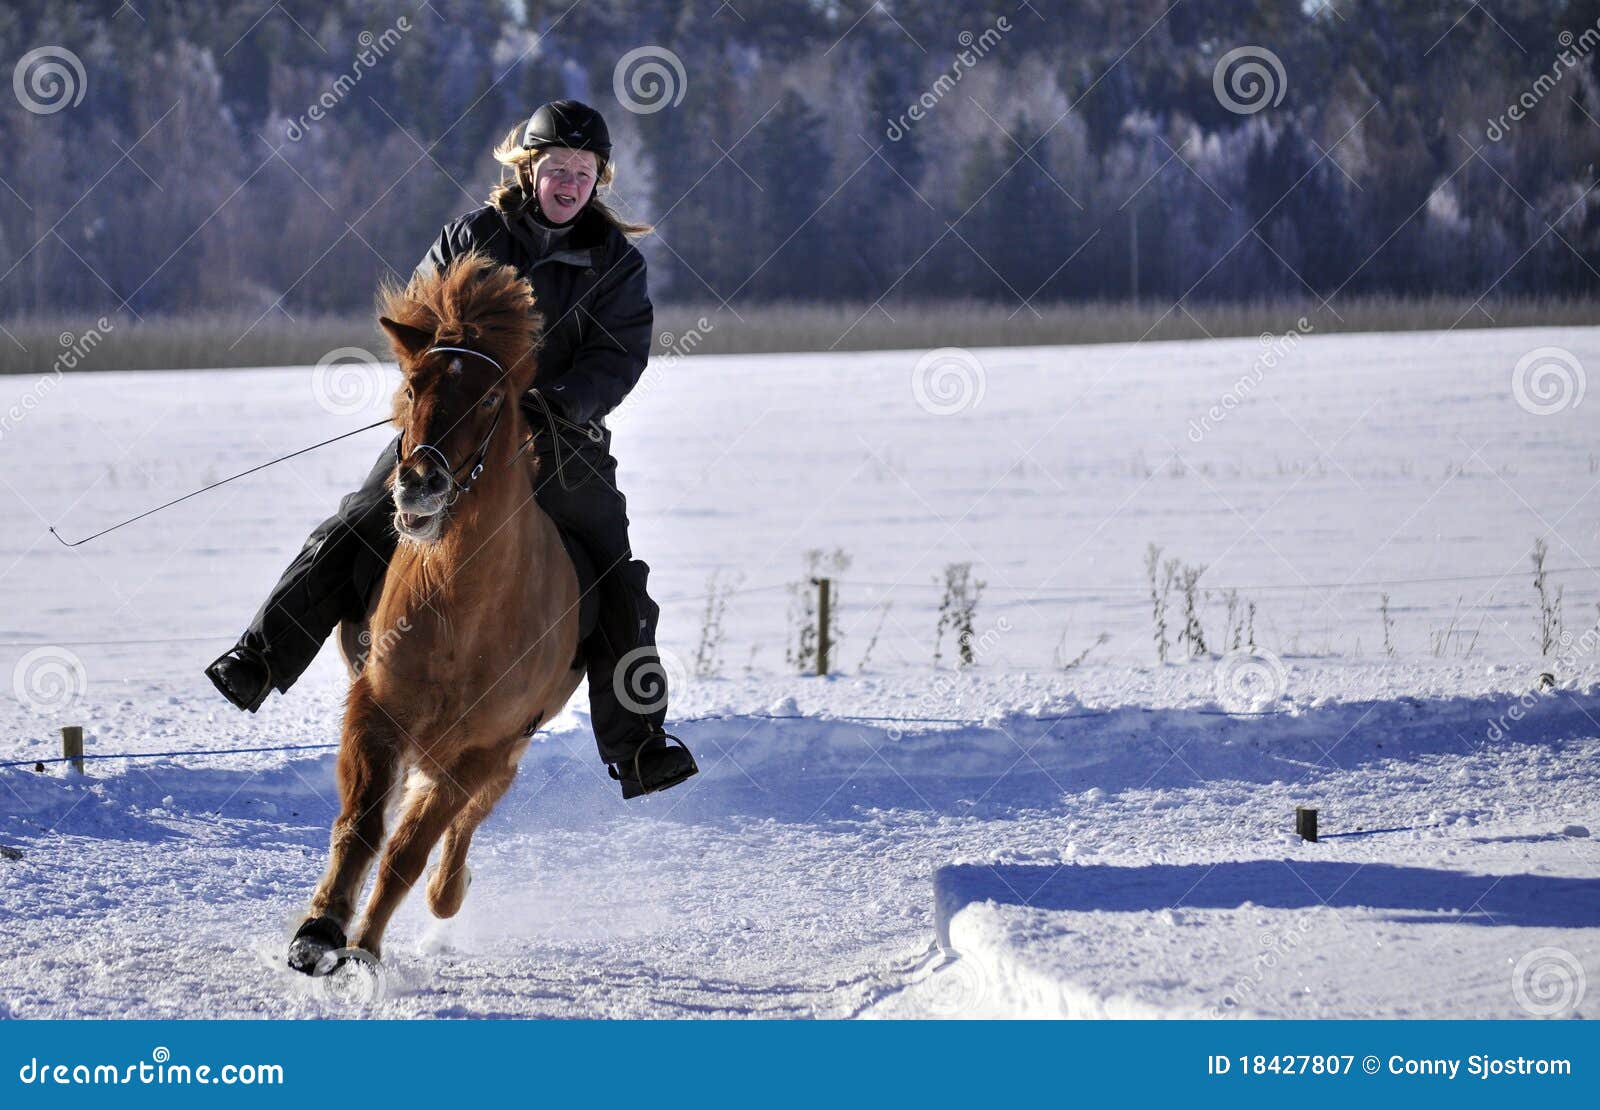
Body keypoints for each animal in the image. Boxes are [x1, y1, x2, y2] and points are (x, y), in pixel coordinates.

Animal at [286, 251, 591, 975]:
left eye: (490, 397)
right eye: (413, 383)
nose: (420, 483)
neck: (463, 608)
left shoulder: (480, 747)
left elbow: (407, 851)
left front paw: (364, 952)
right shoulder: (376, 709)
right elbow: (361, 828)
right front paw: (320, 930)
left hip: (499, 752)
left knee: (466, 820)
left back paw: (448, 892)